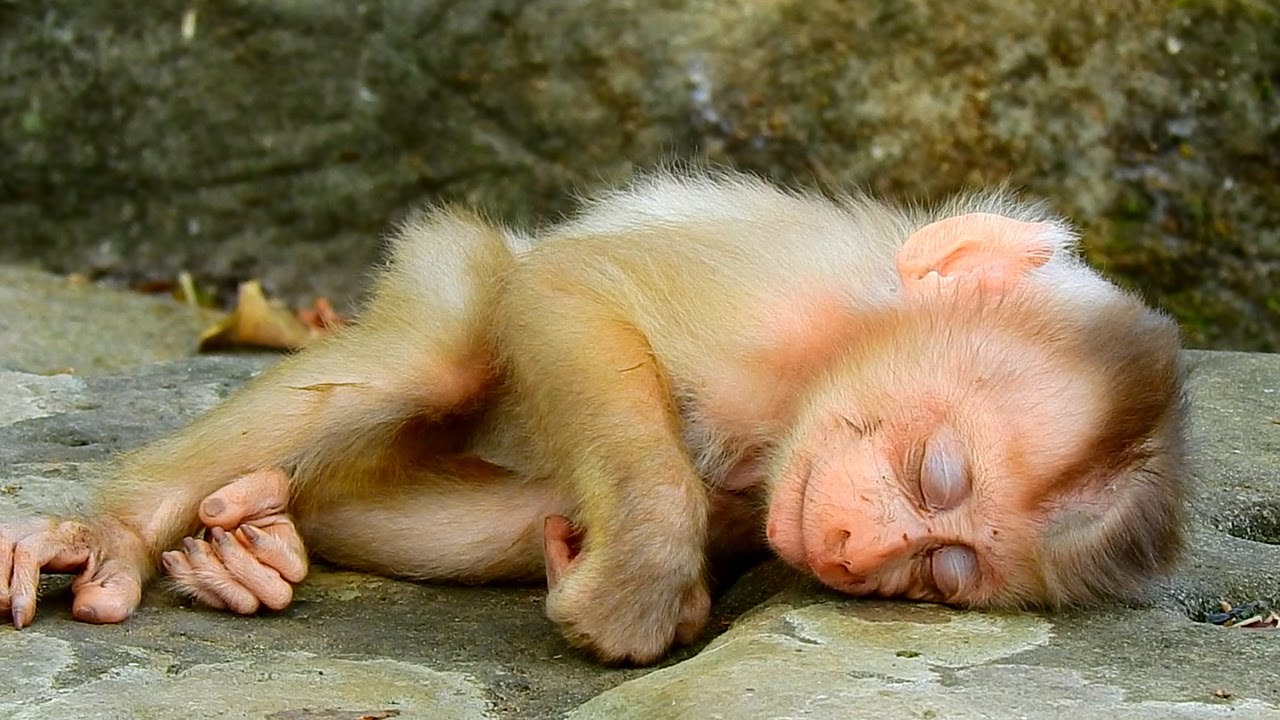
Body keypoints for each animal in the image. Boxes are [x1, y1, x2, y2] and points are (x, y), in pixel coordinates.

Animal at [0, 170, 1187, 665]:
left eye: (941, 571)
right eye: (935, 472)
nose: (857, 552)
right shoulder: (775, 304)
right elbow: (571, 294)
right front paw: (642, 581)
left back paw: (258, 542)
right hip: (455, 273)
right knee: (450, 342)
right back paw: (120, 532)